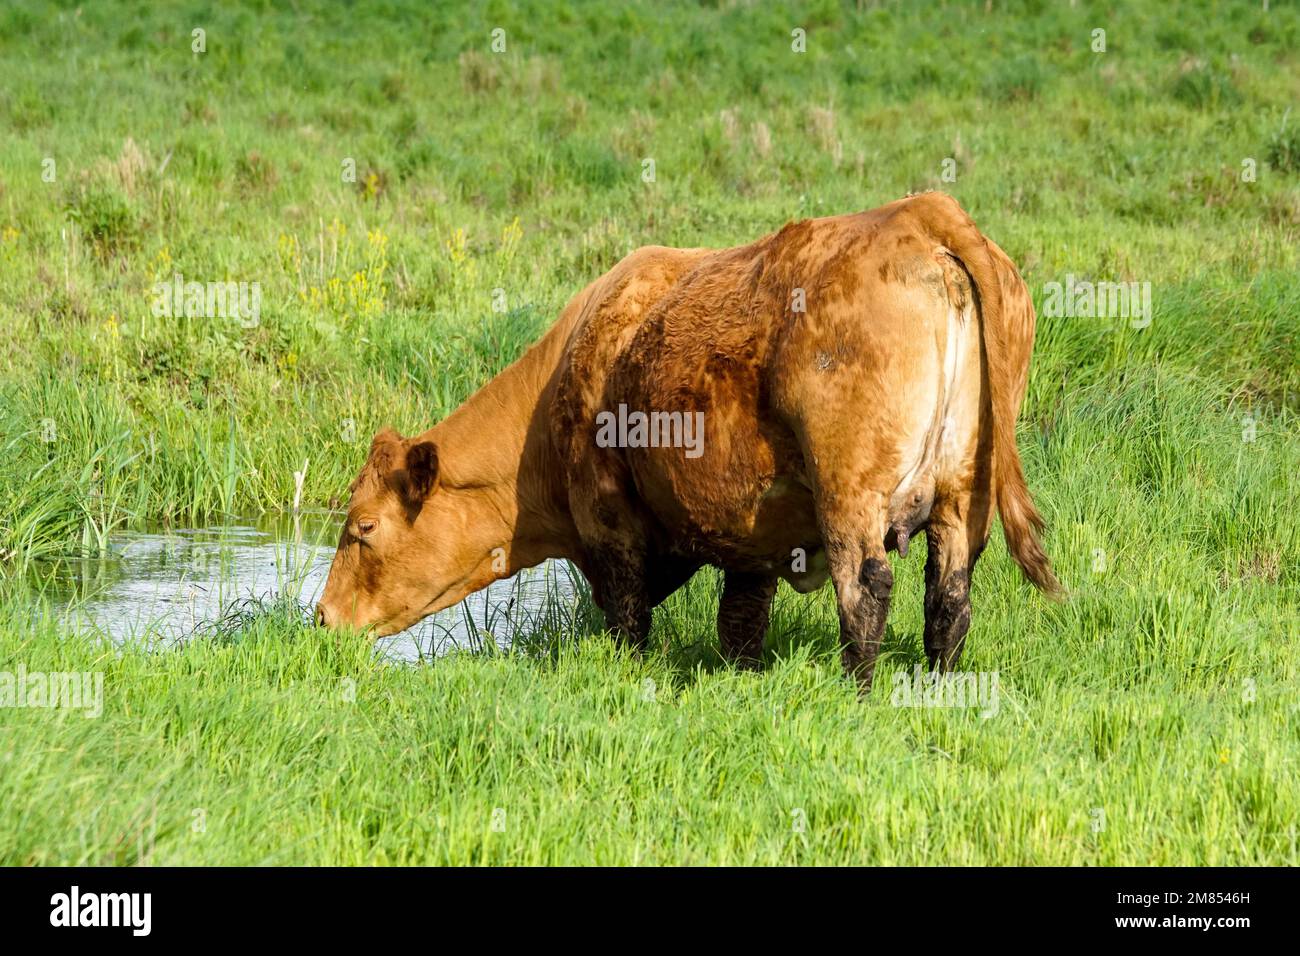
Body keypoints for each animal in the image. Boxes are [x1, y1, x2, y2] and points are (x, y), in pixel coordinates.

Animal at [316, 192, 1060, 692]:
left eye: (363, 527)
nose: (321, 617)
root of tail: (919, 214)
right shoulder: (755, 533)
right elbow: (740, 624)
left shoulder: (608, 516)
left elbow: (627, 616)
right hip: (961, 498)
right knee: (948, 599)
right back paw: (939, 688)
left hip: (850, 492)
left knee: (866, 591)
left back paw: (860, 695)